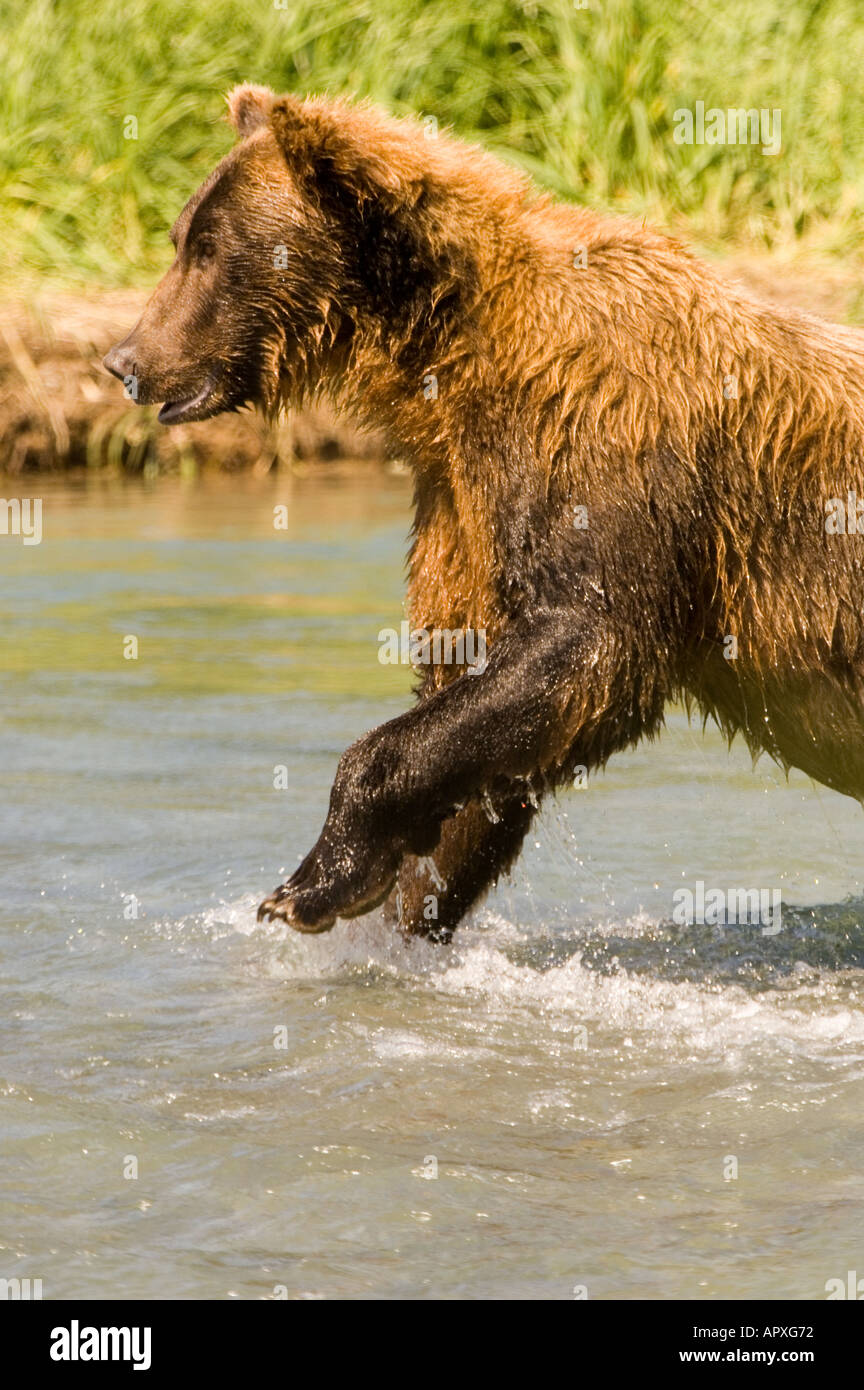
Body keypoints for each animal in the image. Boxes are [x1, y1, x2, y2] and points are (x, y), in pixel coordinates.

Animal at [104, 84, 864, 940]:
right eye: (181, 236)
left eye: (206, 249)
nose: (124, 360)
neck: (449, 352)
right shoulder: (461, 495)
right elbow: (473, 711)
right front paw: (390, 898)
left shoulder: (601, 440)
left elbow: (583, 641)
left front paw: (305, 887)